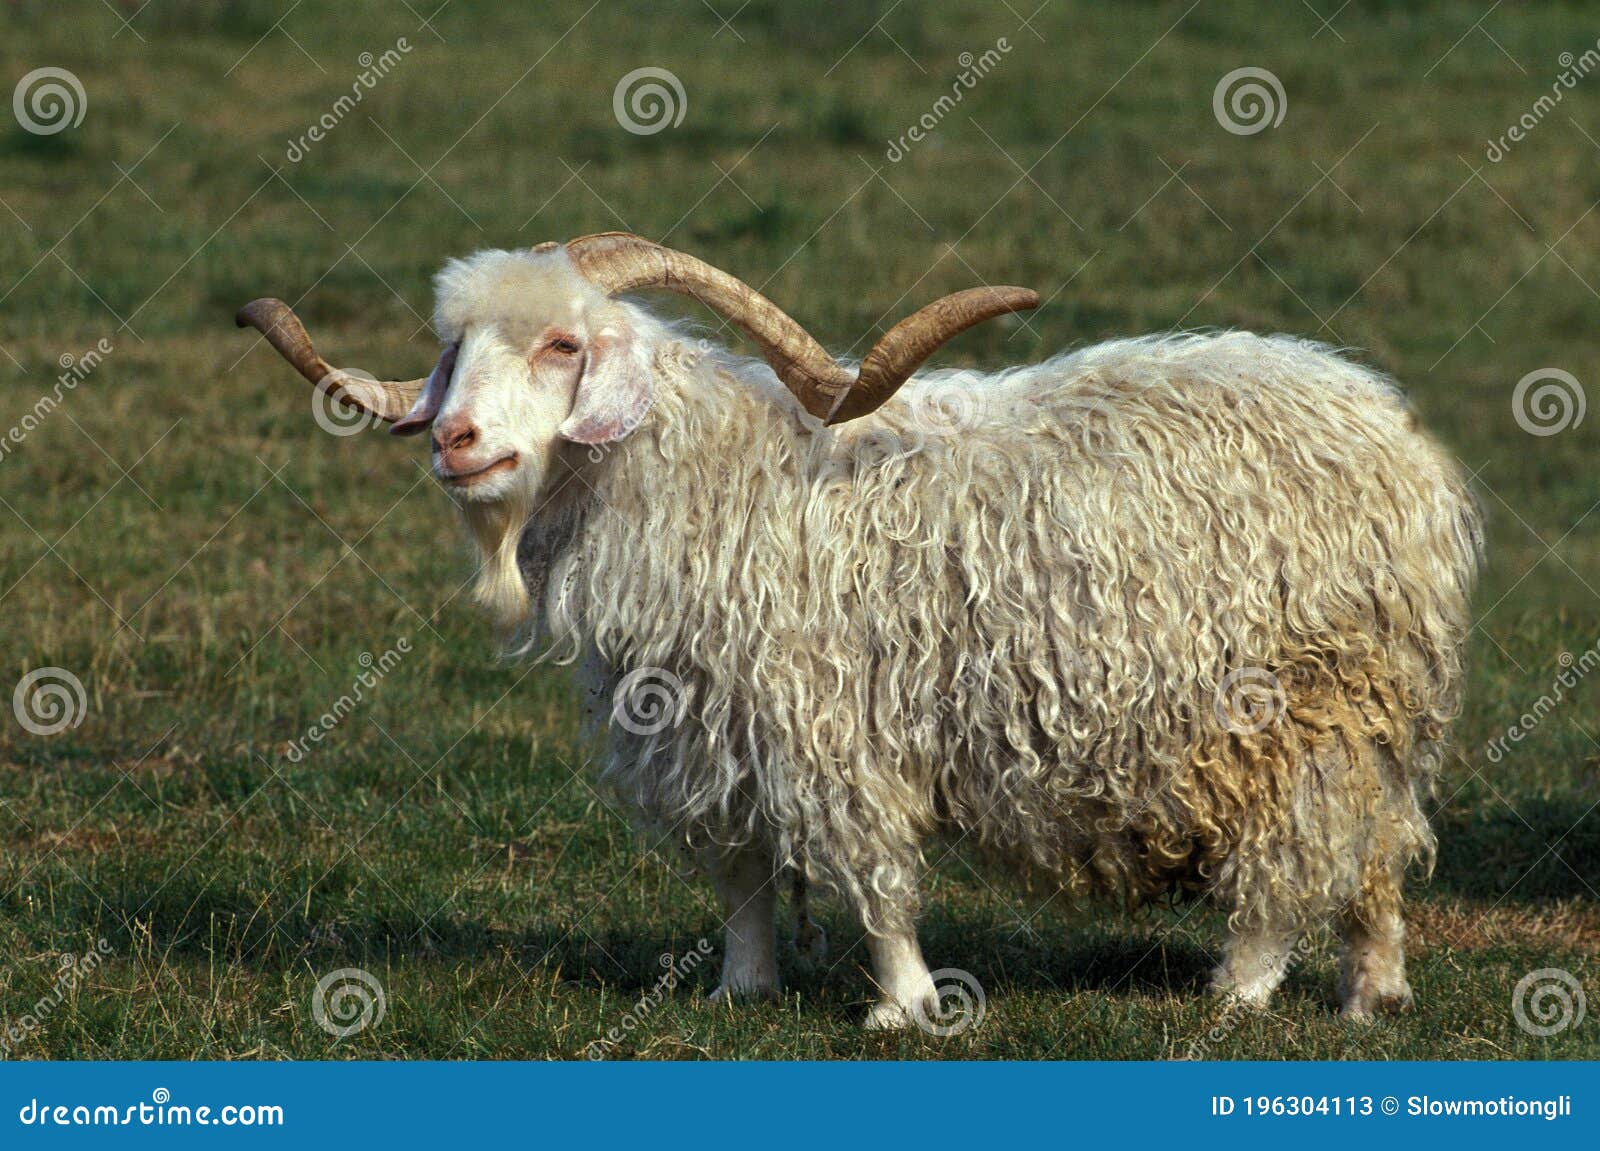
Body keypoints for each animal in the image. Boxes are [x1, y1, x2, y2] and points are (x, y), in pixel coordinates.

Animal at [239, 232, 1481, 1026]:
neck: (712, 481)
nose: (455, 441)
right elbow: (740, 865)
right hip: (1369, 713)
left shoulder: (823, 723)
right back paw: (1371, 992)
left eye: (561, 346)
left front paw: (904, 1003)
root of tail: (1394, 437)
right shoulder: (705, 726)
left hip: (1297, 715)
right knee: (1376, 853)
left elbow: (870, 867)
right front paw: (741, 988)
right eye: (456, 349)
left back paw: (1241, 990)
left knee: (1295, 854)